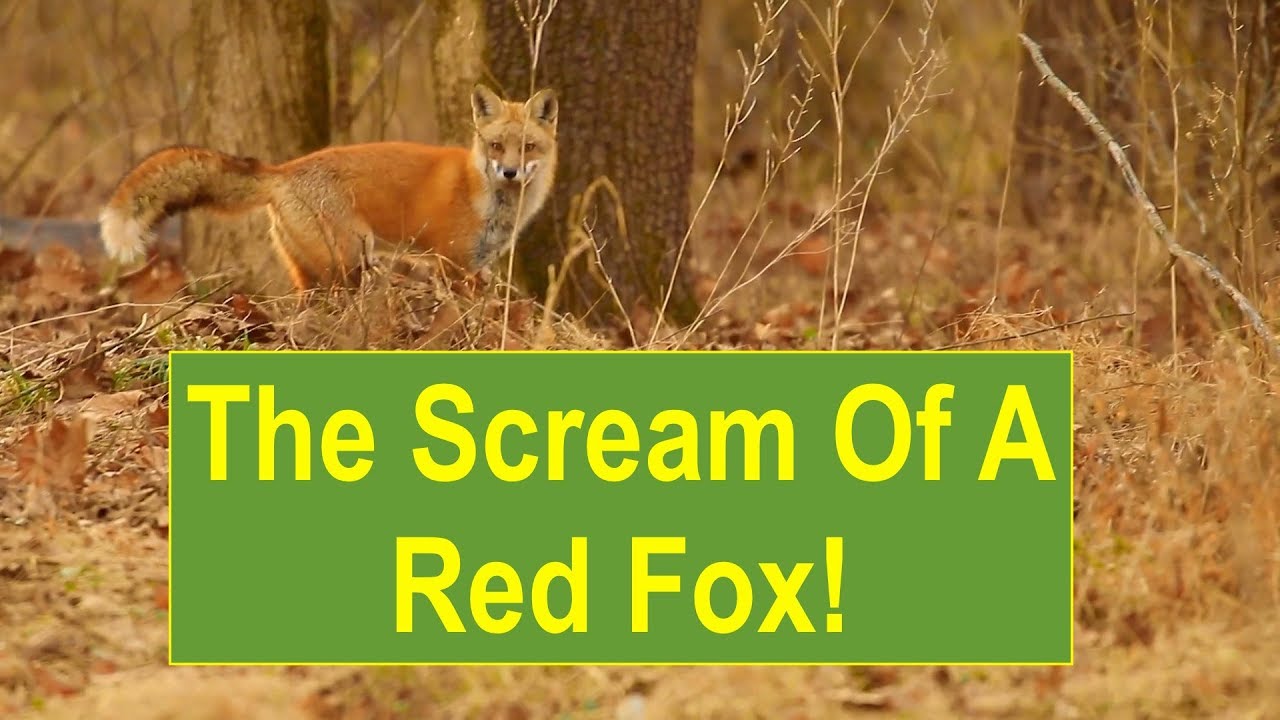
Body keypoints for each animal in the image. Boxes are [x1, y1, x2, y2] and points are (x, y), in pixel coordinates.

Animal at [98, 83, 558, 291]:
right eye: (496, 146)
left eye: (528, 147)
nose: (509, 173)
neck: (486, 196)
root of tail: (282, 170)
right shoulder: (452, 263)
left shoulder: (477, 265)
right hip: (349, 259)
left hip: (312, 269)